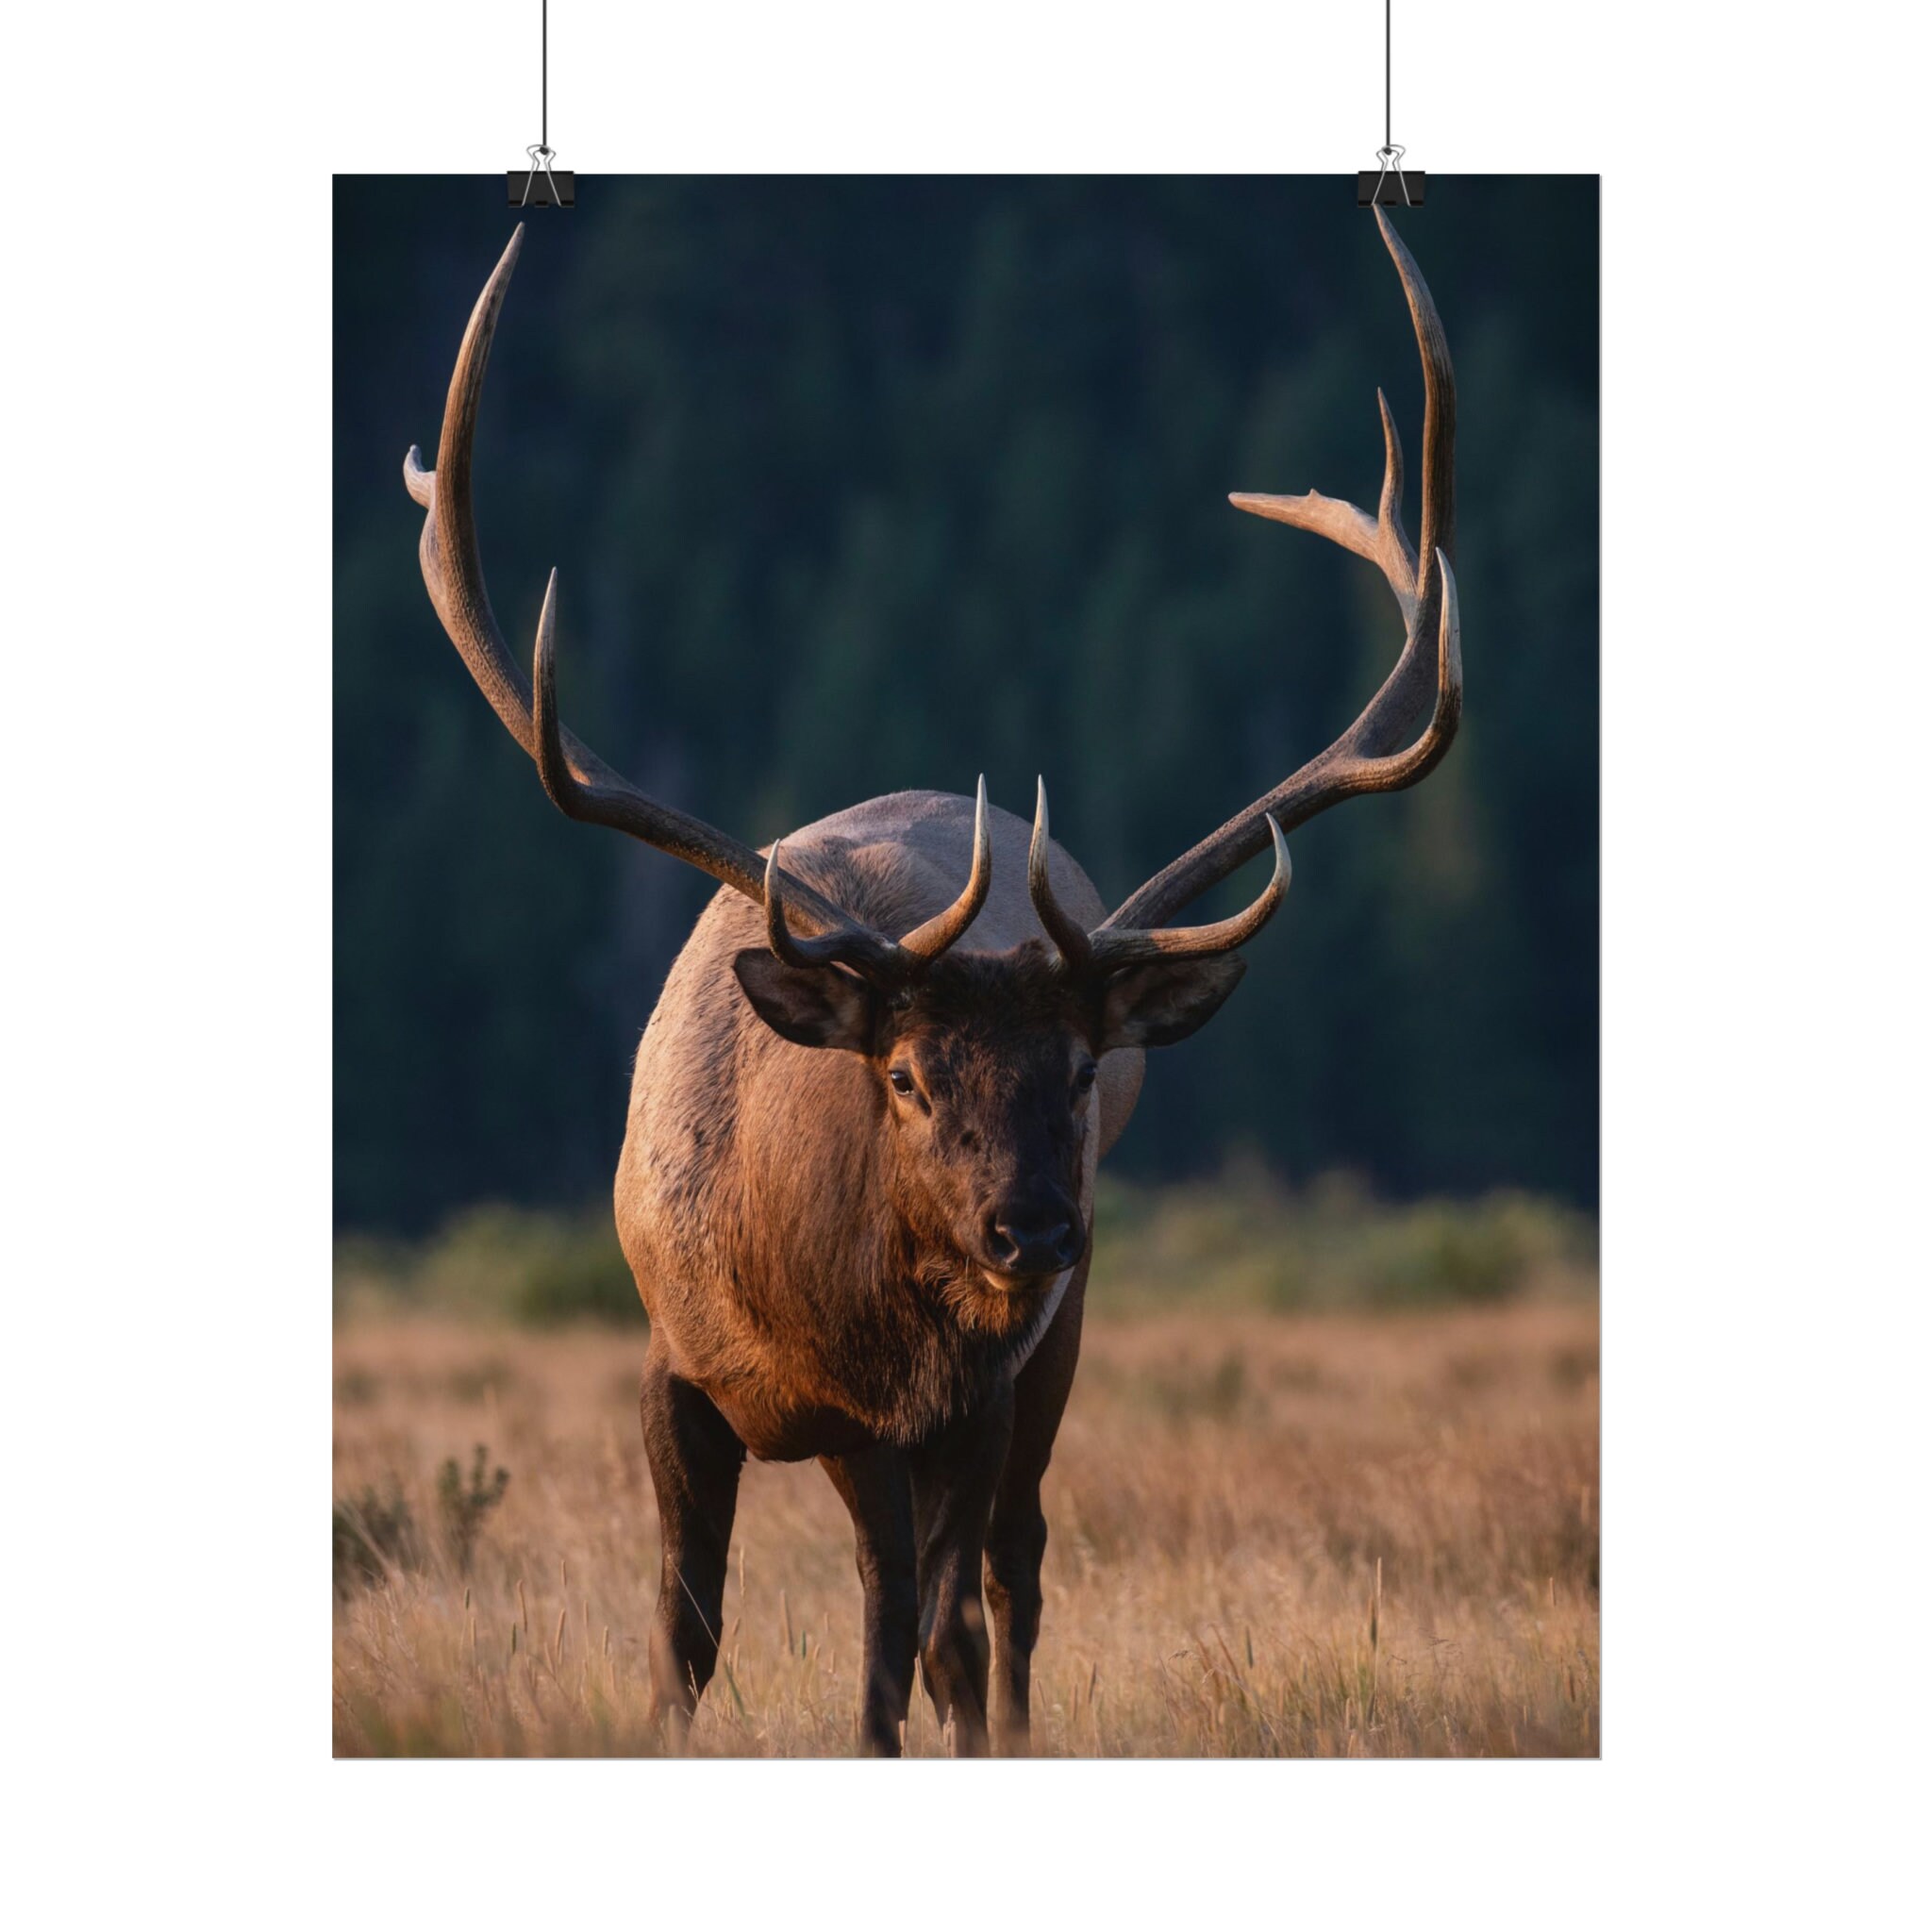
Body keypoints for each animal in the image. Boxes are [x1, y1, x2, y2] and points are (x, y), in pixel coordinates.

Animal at [402, 207, 1458, 1756]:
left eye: (1079, 1071)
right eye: (902, 1074)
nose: (1029, 1227)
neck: (816, 1310)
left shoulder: (966, 1399)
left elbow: (936, 1634)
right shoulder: (676, 1362)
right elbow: (687, 1630)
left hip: (1046, 1360)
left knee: (1001, 1579)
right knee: (906, 1598)